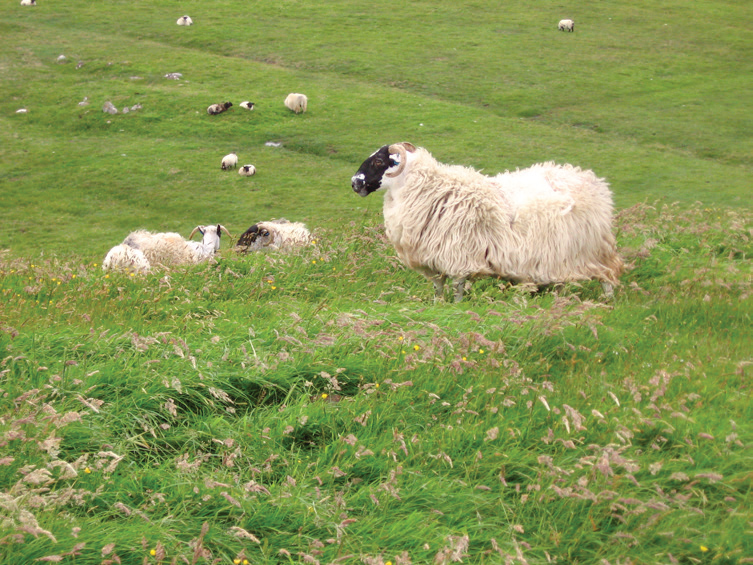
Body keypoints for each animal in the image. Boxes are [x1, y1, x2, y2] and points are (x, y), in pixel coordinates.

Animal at [351, 142, 623, 302]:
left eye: (379, 161)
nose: (354, 183)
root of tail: (594, 182)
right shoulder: (433, 259)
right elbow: (438, 288)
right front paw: (438, 306)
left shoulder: (457, 255)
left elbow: (458, 287)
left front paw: (456, 308)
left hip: (593, 250)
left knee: (607, 276)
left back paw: (607, 303)